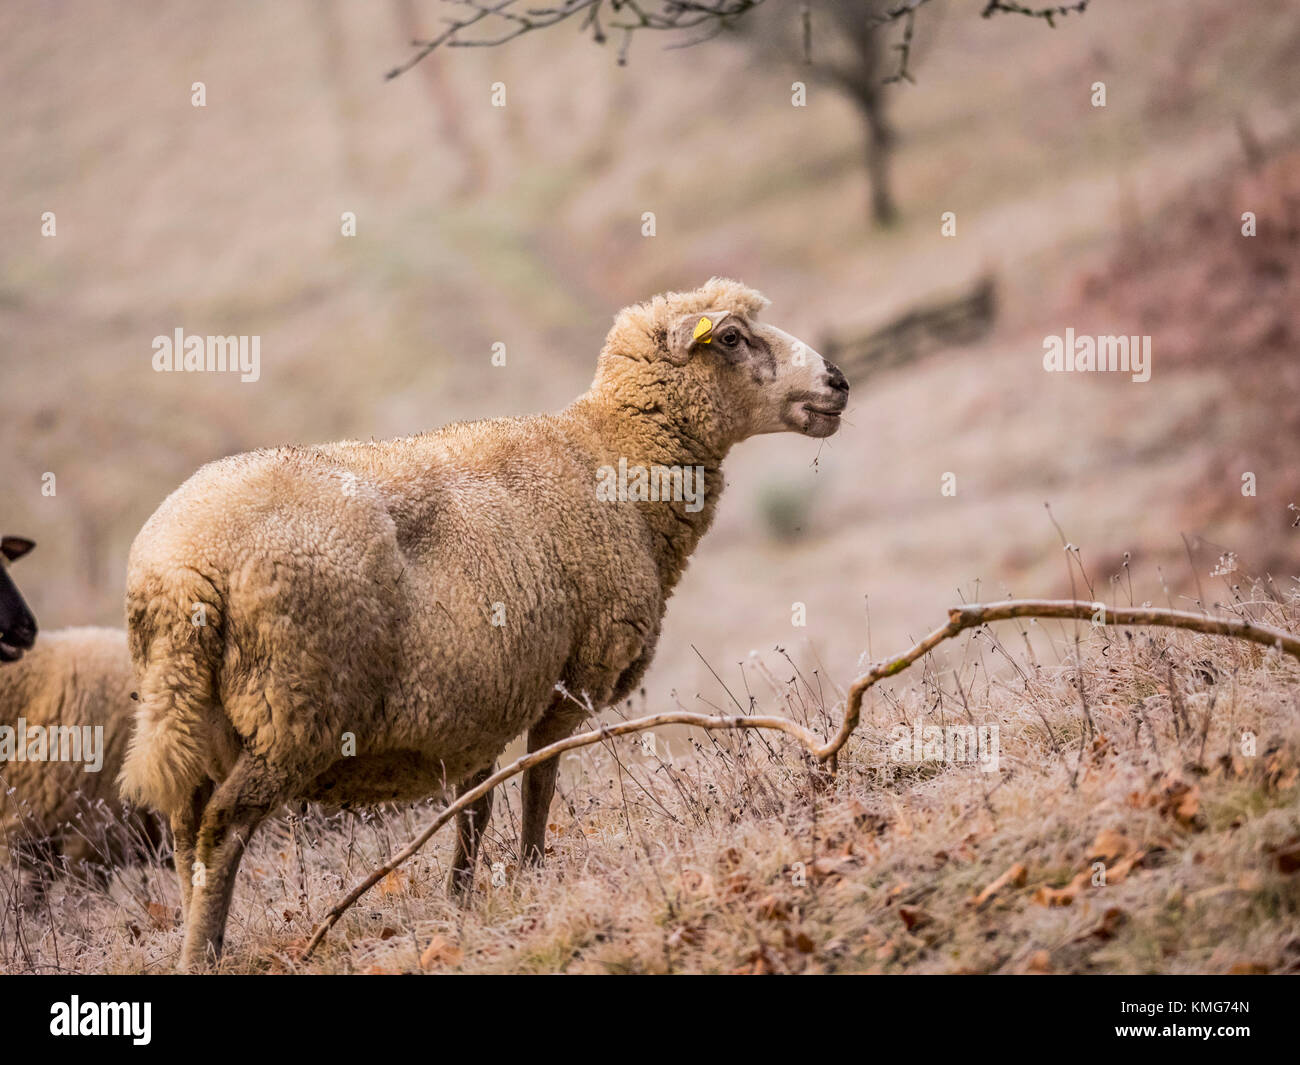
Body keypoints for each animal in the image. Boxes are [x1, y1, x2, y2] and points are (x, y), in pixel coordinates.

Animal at [121, 277, 851, 969]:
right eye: (730, 338)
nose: (837, 382)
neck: (611, 456)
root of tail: (177, 565)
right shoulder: (575, 675)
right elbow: (539, 781)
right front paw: (533, 872)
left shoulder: (482, 700)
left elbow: (474, 806)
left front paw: (461, 898)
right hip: (292, 709)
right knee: (223, 826)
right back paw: (201, 954)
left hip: (199, 713)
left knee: (186, 829)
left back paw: (205, 933)